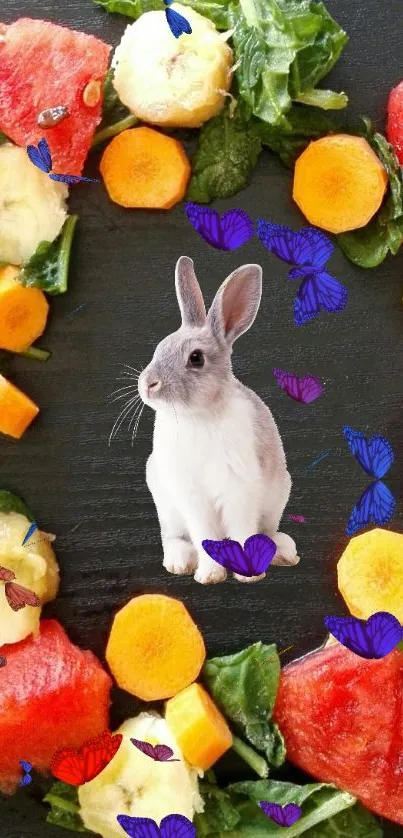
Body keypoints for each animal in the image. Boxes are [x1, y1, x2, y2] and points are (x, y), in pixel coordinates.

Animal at [138, 255, 299, 585]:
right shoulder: (192, 497)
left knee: (267, 531)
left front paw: (248, 575)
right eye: (159, 348)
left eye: (196, 358)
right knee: (174, 538)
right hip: (166, 506)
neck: (197, 415)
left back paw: (284, 551)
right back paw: (179, 562)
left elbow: (241, 531)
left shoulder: (240, 489)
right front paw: (210, 576)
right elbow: (204, 535)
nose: (148, 384)